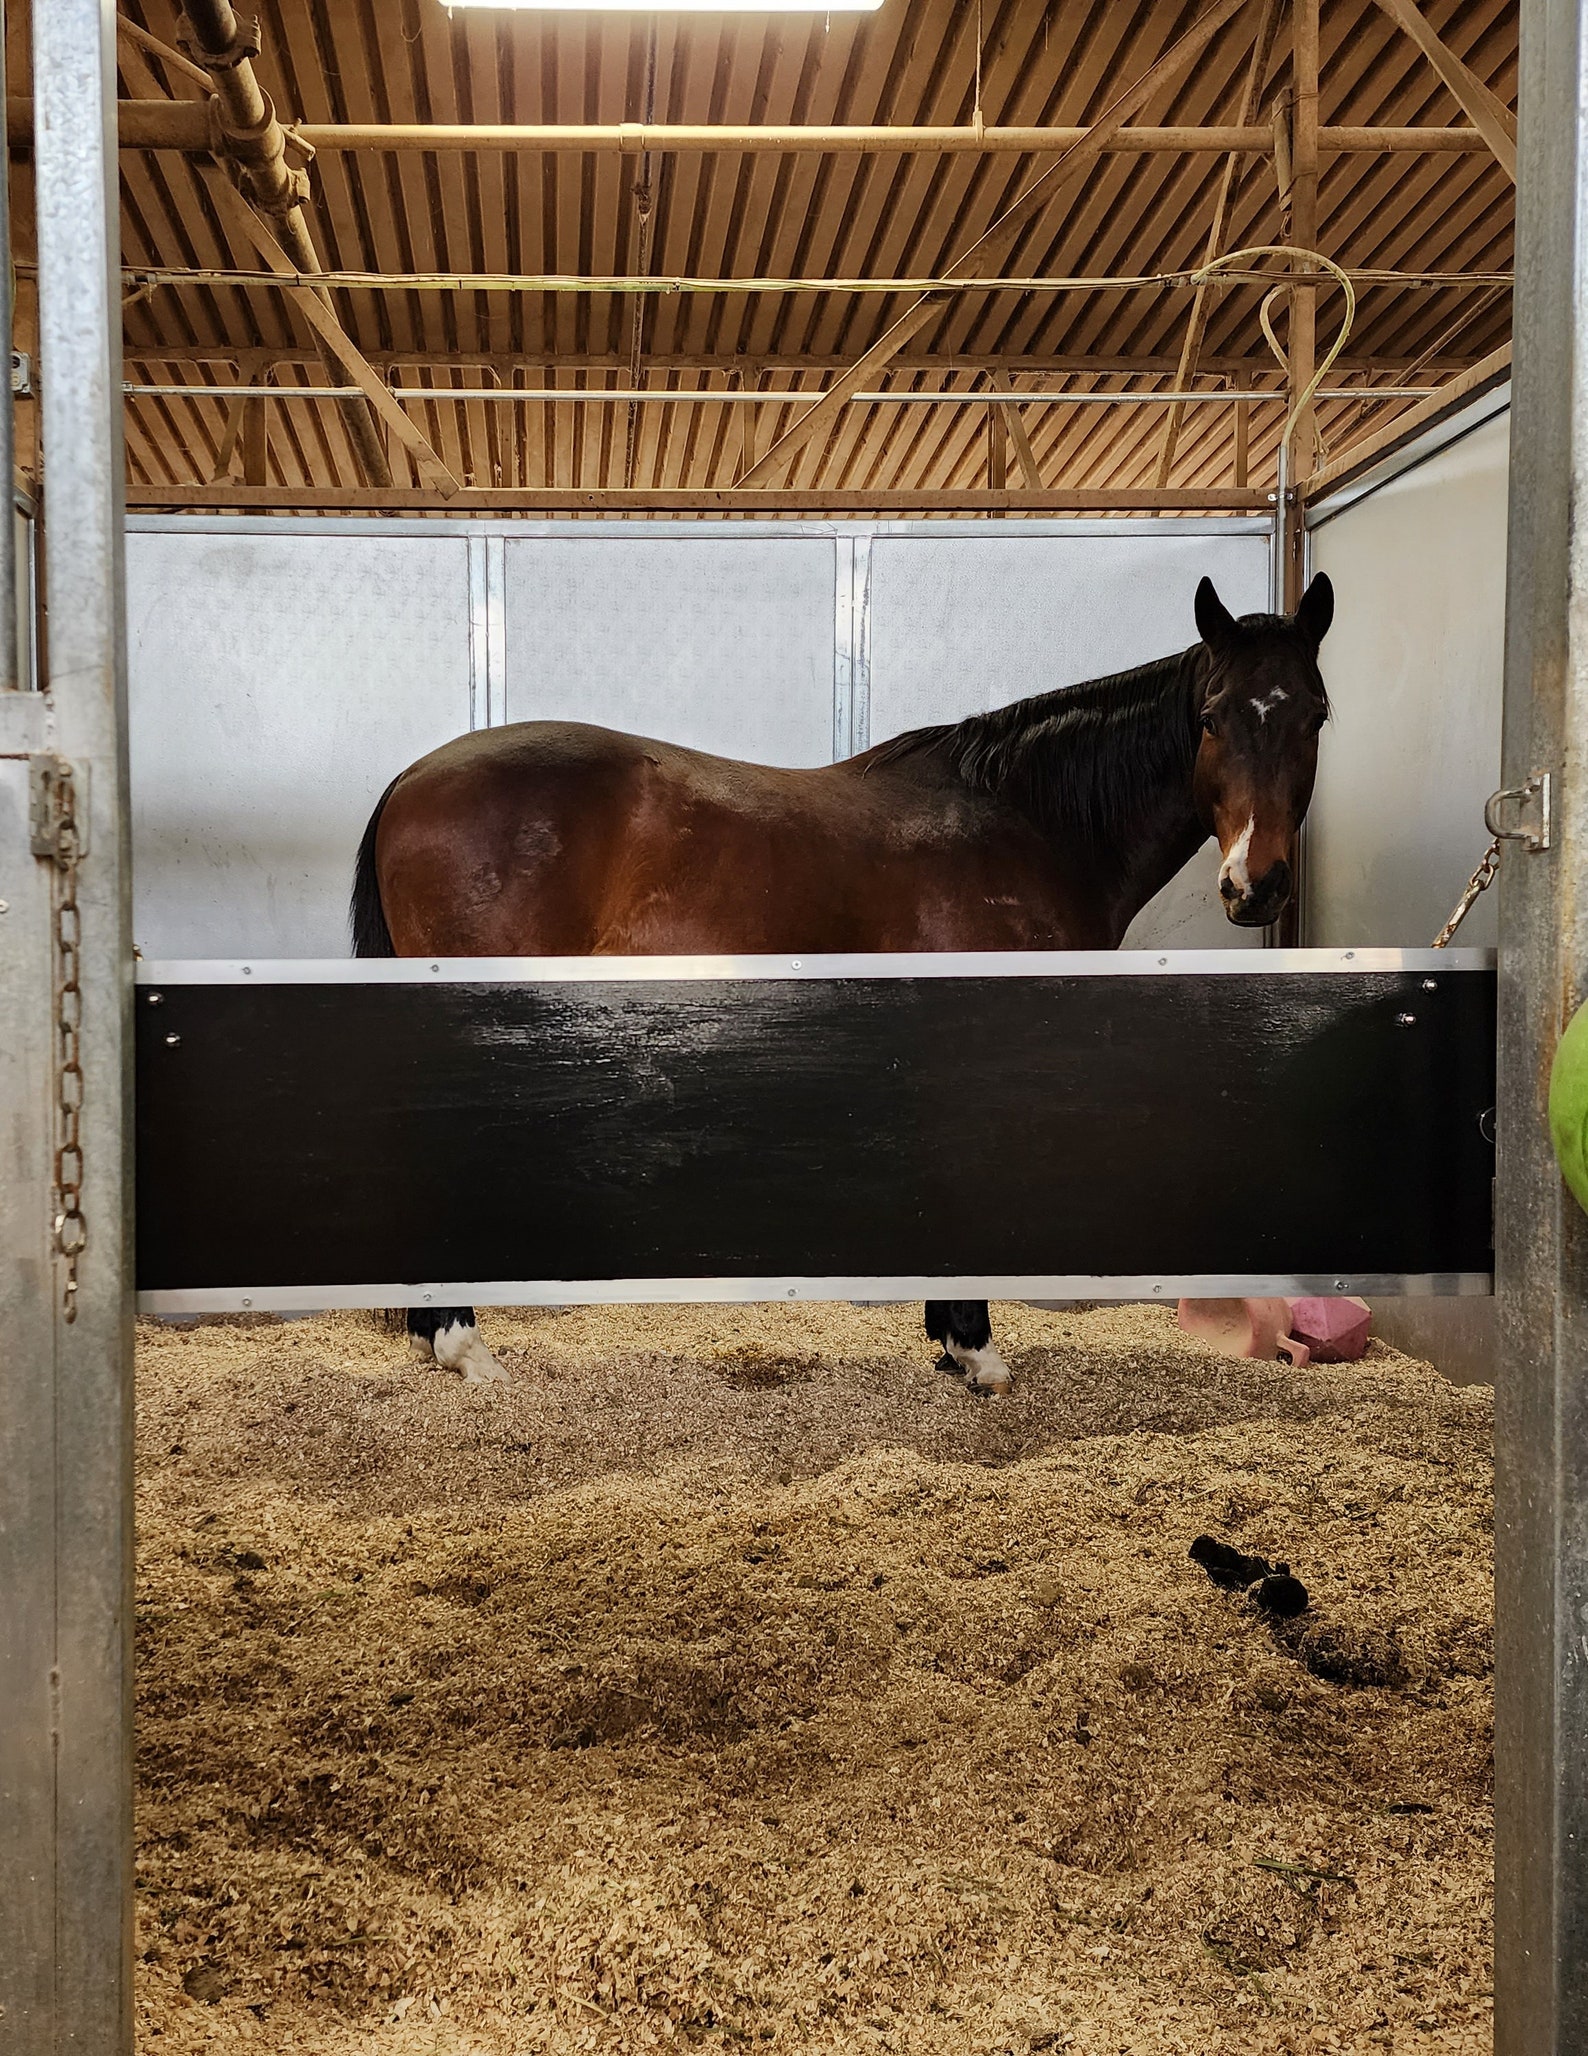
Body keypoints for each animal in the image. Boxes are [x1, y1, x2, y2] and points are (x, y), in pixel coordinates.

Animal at [349, 571, 1335, 1389]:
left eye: (1315, 715)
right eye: (1211, 715)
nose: (1255, 885)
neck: (1029, 821)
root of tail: (410, 778)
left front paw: (948, 1340)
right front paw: (975, 1350)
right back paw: (465, 1347)